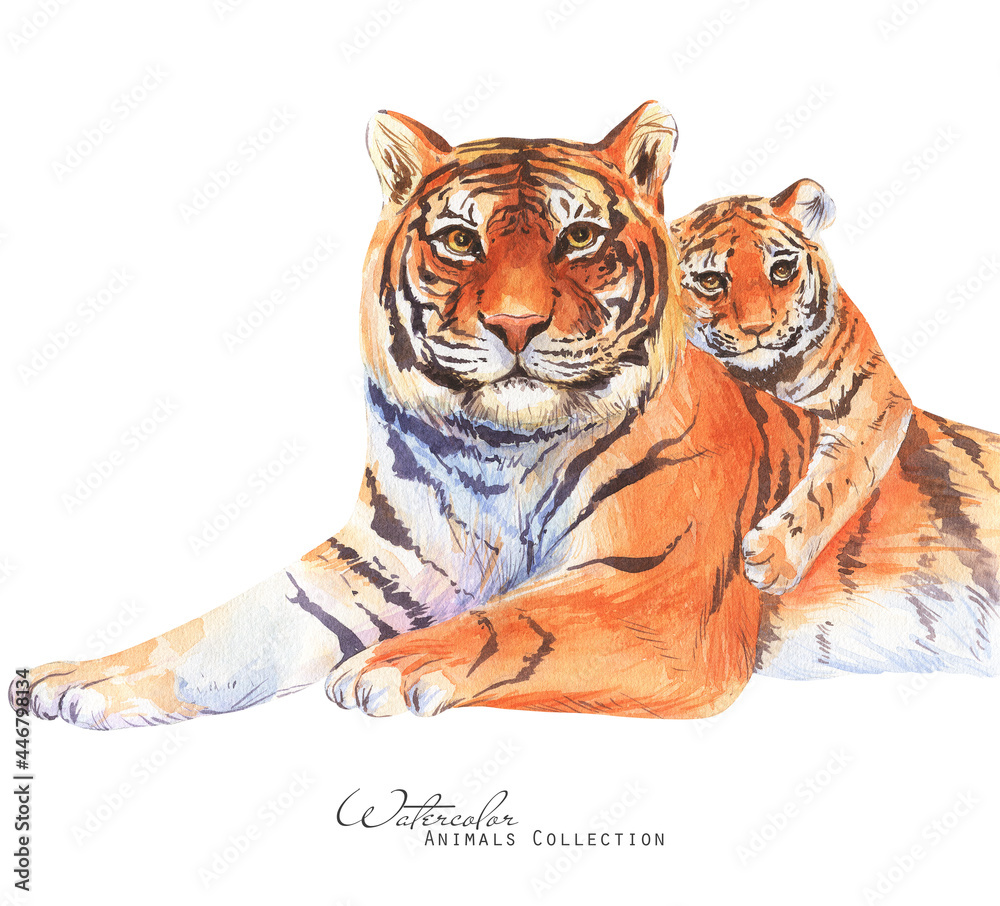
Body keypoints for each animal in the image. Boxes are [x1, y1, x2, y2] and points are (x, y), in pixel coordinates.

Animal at [669, 183, 913, 594]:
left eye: (781, 270)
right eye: (711, 281)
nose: (757, 328)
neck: (768, 377)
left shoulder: (876, 398)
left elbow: (833, 481)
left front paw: (775, 556)